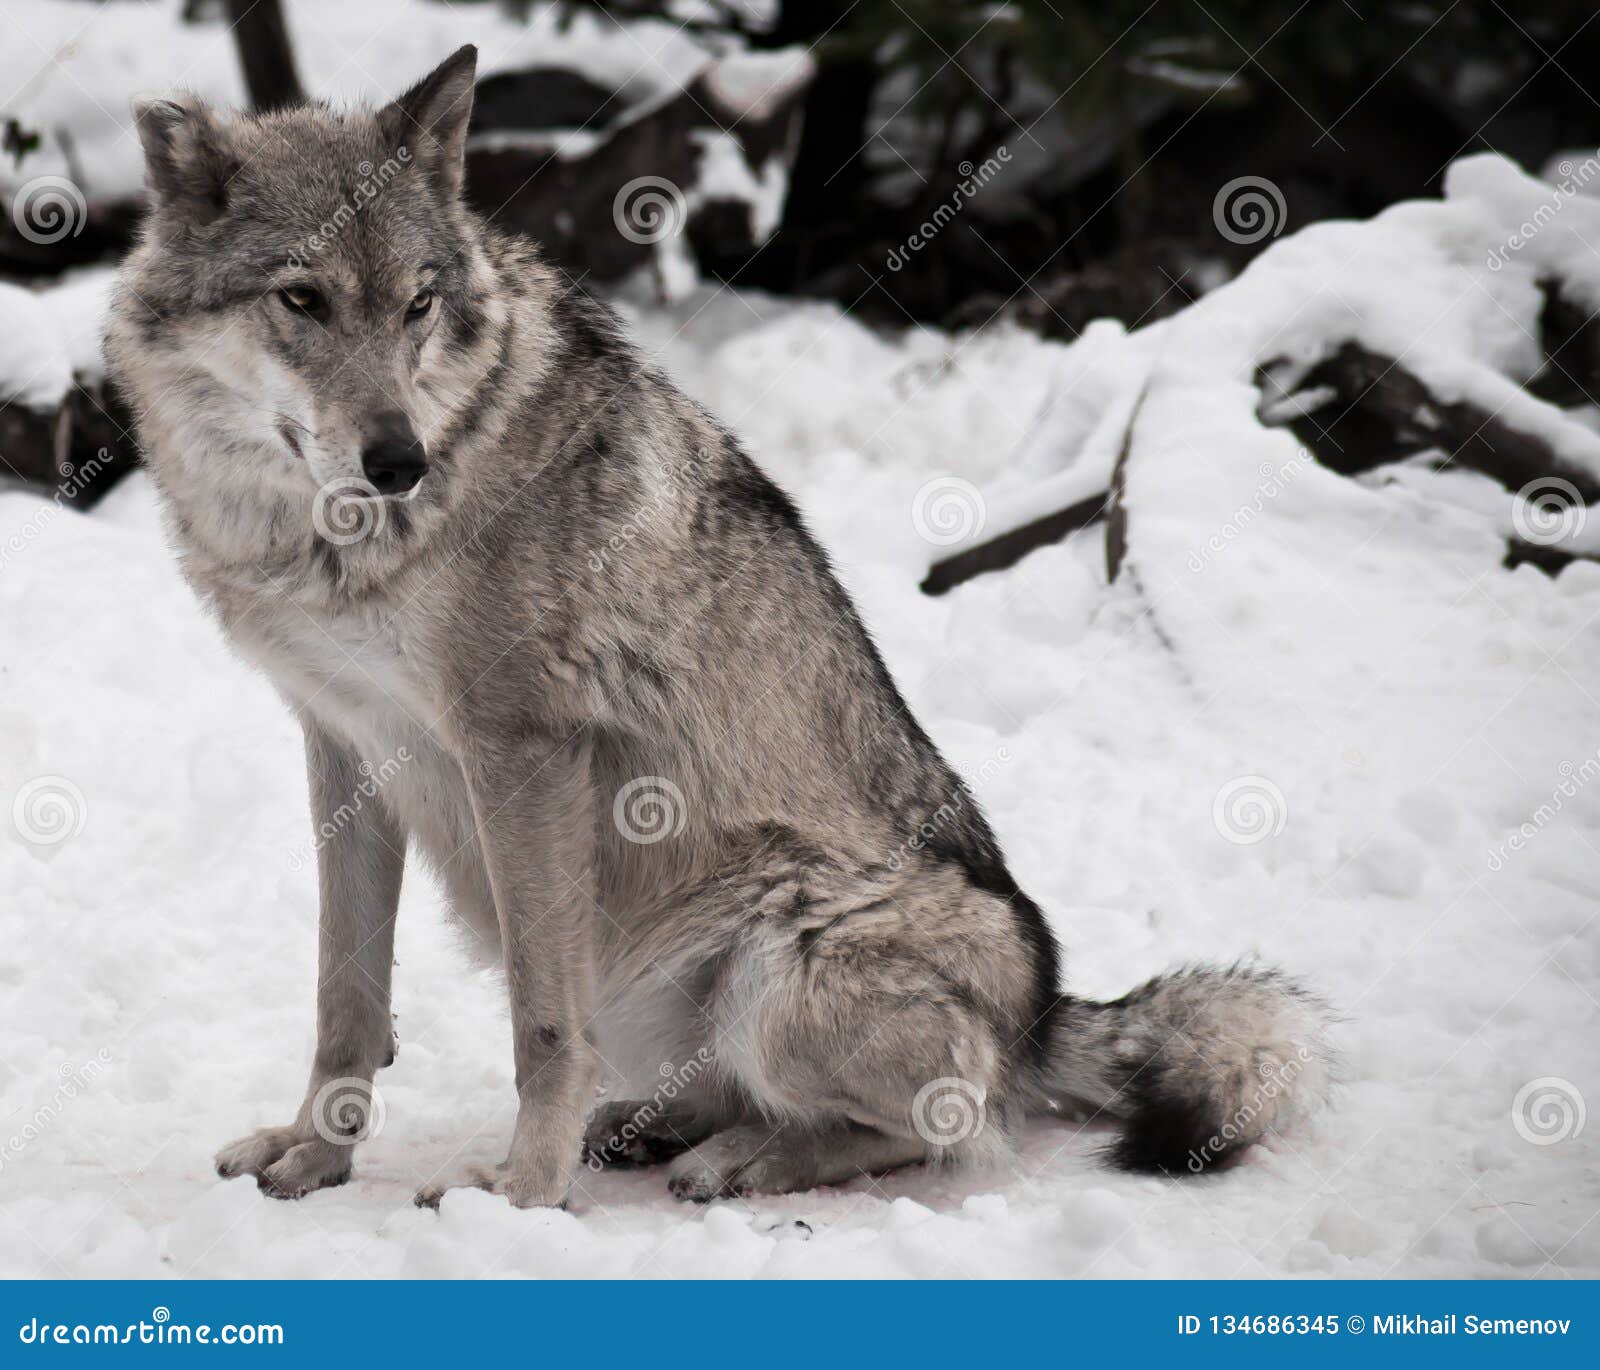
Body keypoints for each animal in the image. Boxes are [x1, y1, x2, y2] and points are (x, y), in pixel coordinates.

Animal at [106, 46, 1332, 1209]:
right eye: (302, 300)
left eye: (417, 304)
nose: (398, 460)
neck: (324, 546)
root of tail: (1042, 1014)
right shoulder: (346, 747)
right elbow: (344, 998)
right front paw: (316, 1154)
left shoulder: (521, 751)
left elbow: (541, 1027)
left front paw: (523, 1191)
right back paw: (655, 1129)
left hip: (776, 970)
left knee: (954, 1128)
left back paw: (739, 1159)